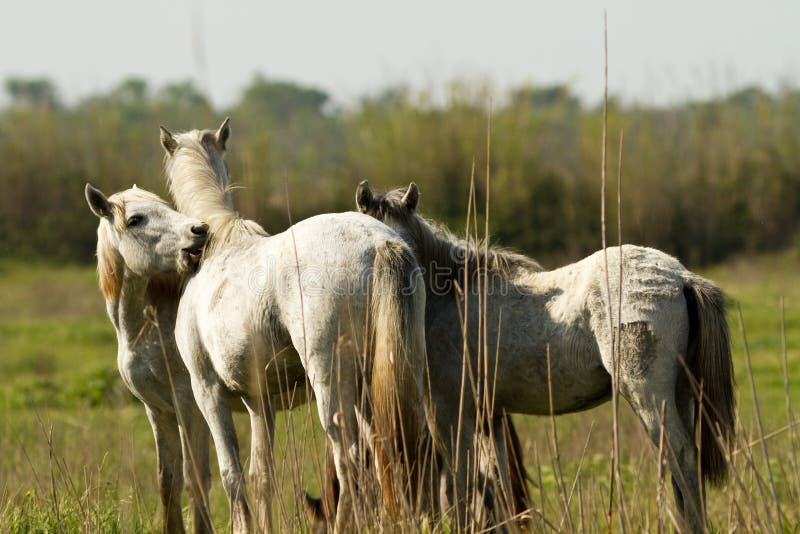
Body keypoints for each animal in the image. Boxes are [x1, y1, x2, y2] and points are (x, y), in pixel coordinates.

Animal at [84, 183, 212, 534]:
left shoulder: (190, 407)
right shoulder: (159, 410)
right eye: (135, 219)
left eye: (169, 208)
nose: (200, 230)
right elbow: (168, 481)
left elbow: (196, 480)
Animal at [159, 122, 428, 533]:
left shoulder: (208, 391)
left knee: (350, 460)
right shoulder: (259, 400)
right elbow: (262, 476)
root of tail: (380, 242)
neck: (218, 248)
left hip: (331, 384)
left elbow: (232, 476)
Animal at [354, 181, 736, 532]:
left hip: (648, 397)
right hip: (683, 394)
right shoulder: (490, 416)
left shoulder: (450, 413)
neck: (449, 297)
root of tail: (681, 277)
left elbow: (462, 484)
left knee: (681, 458)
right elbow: (498, 486)